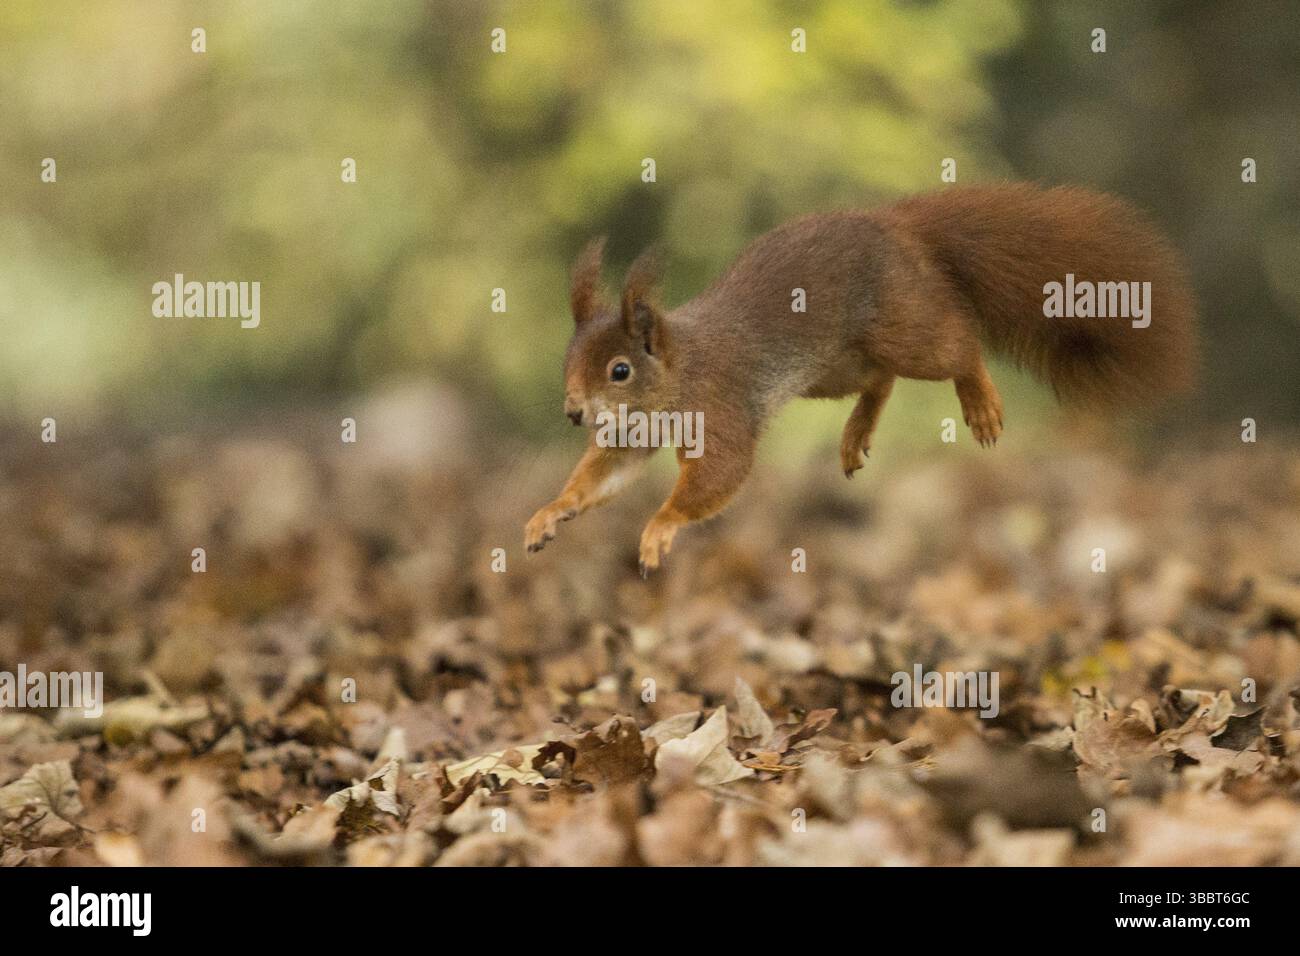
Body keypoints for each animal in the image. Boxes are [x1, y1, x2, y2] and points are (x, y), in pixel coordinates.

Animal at [524, 183, 1197, 575]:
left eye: (619, 370)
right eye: (567, 363)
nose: (573, 412)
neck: (678, 372)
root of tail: (898, 227)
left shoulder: (720, 409)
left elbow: (717, 475)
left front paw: (659, 528)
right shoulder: (631, 436)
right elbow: (604, 476)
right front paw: (550, 512)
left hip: (902, 326)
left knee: (957, 346)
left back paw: (980, 401)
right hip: (835, 366)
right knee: (880, 379)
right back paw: (856, 434)